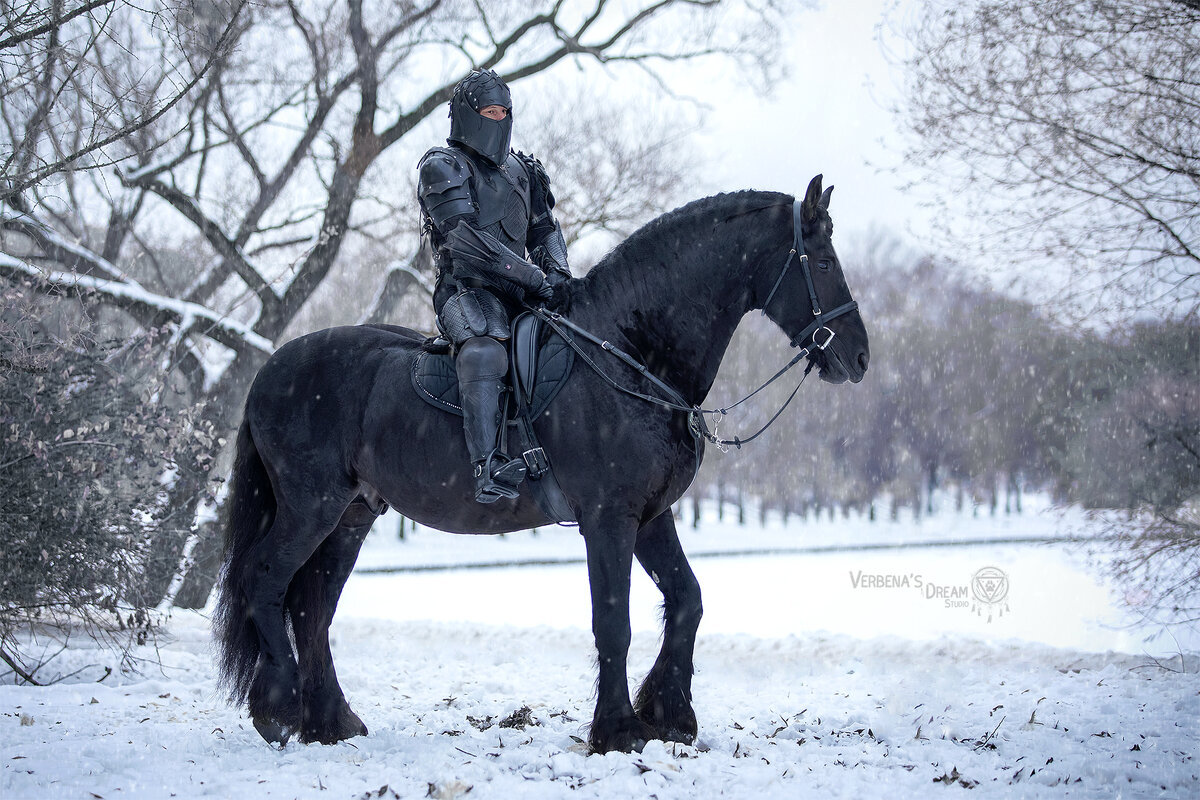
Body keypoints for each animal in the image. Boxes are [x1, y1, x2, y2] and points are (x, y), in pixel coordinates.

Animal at [216, 176, 868, 758]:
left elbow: (688, 597)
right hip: (311, 507)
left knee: (312, 607)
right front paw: (618, 730)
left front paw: (671, 715)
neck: (628, 352)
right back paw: (277, 710)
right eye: (822, 259)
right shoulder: (608, 519)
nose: (859, 356)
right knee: (265, 579)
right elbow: (613, 622)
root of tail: (271, 369)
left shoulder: (651, 516)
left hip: (351, 517)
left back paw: (331, 721)